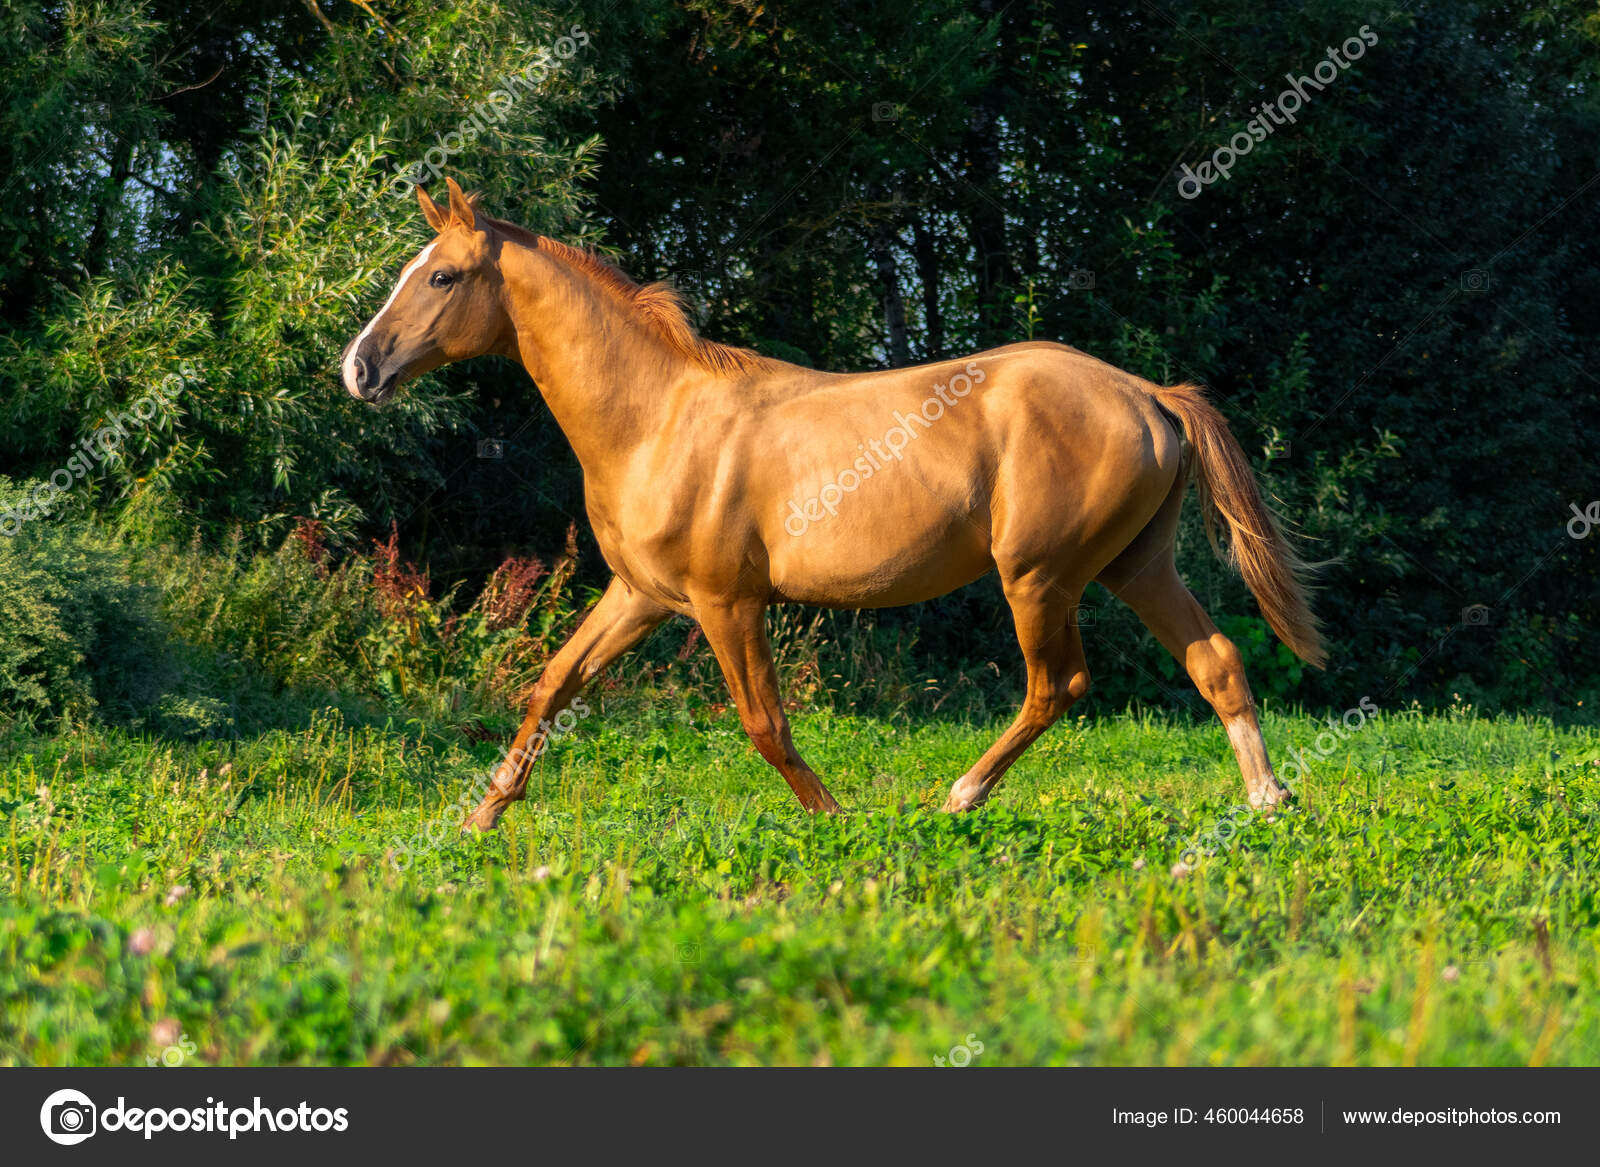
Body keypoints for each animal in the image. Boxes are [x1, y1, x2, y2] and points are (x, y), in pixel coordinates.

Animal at [340, 178, 1324, 832]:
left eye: (439, 278)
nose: (359, 368)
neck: (658, 417)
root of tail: (1150, 395)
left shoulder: (727, 604)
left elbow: (764, 725)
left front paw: (834, 818)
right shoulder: (641, 597)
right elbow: (552, 683)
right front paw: (479, 821)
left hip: (1039, 577)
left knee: (1059, 686)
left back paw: (960, 795)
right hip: (1134, 565)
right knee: (1216, 661)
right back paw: (1268, 799)